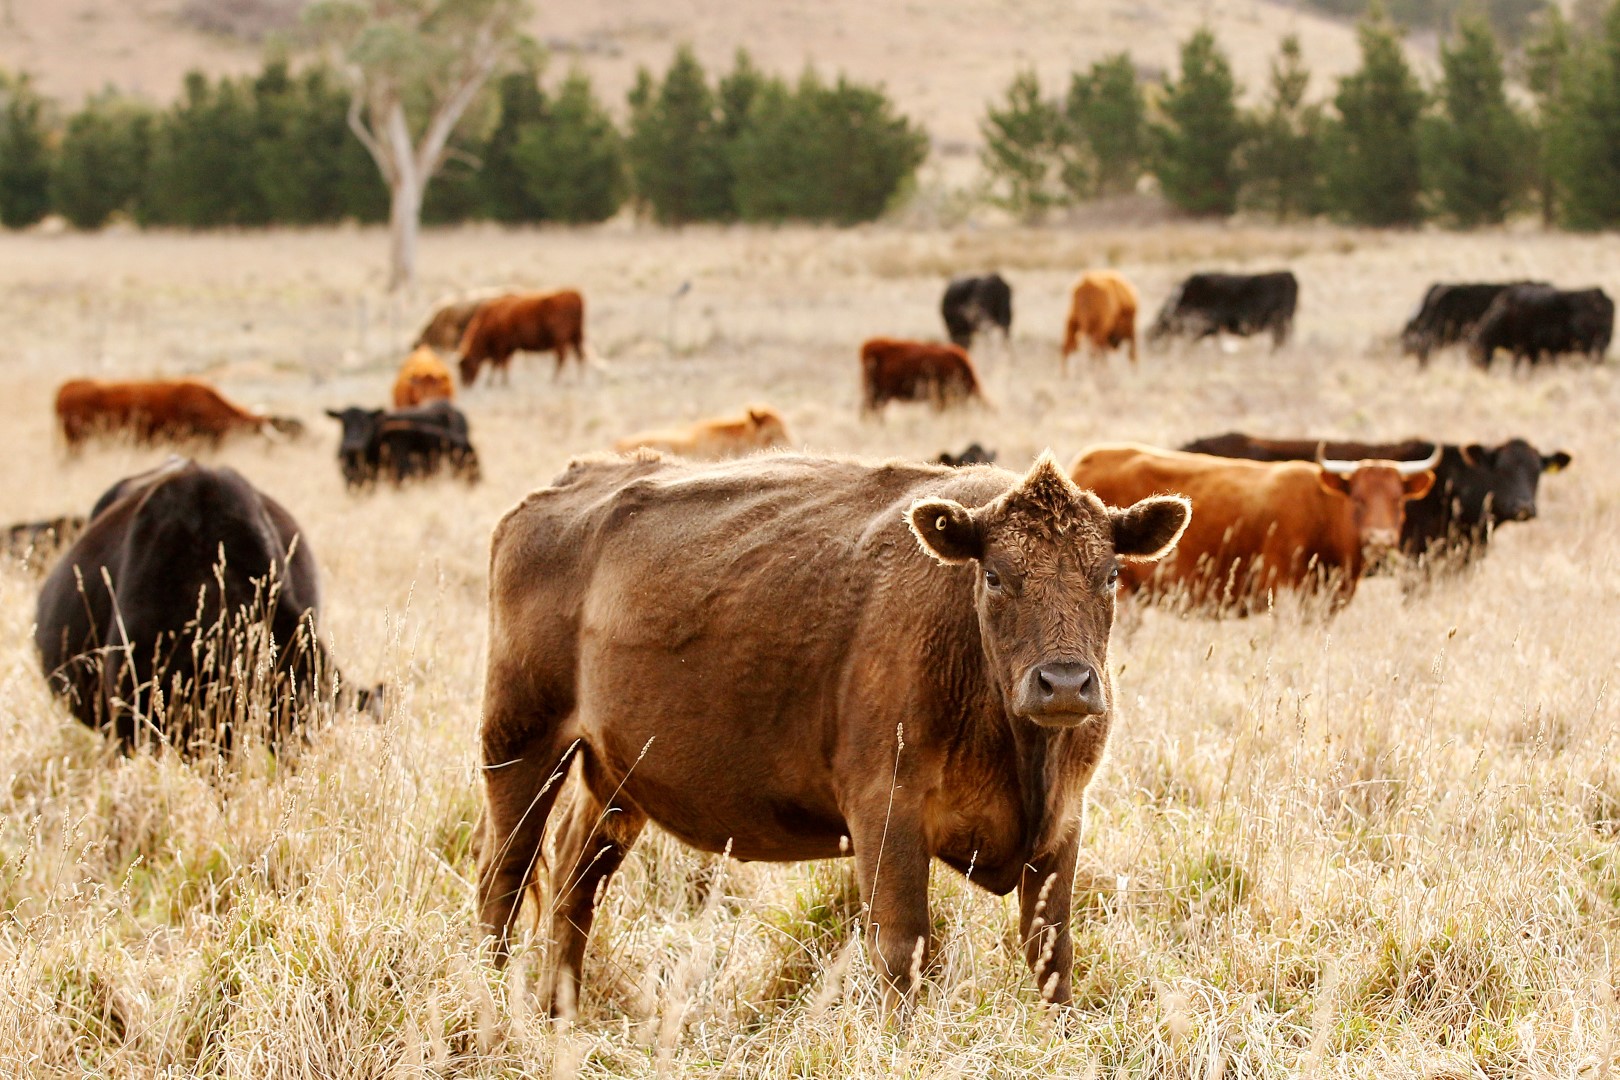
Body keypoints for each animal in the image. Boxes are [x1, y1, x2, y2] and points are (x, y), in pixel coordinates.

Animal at [457, 289, 586, 386]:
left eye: (465, 366)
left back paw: (555, 380)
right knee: (579, 356)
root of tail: (575, 295)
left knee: (562, 358)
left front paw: (497, 382)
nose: (465, 384)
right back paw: (577, 380)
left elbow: (499, 364)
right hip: (575, 337)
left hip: (561, 341)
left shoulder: (501, 347)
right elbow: (501, 365)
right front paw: (499, 382)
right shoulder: (506, 349)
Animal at [475, 450, 1190, 1013]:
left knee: (574, 882)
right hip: (520, 744)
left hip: (616, 779)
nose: (1065, 683)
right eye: (994, 575)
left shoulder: (1064, 822)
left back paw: (560, 1014)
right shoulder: (887, 813)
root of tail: (561, 488)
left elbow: (1052, 953)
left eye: (1110, 574)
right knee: (504, 877)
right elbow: (903, 950)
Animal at [1469, 284, 1614, 367]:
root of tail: (1601, 295)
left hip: (1594, 344)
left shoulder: (1522, 345)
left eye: (1477, 353)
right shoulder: (1533, 348)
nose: (1480, 370)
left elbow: (1516, 364)